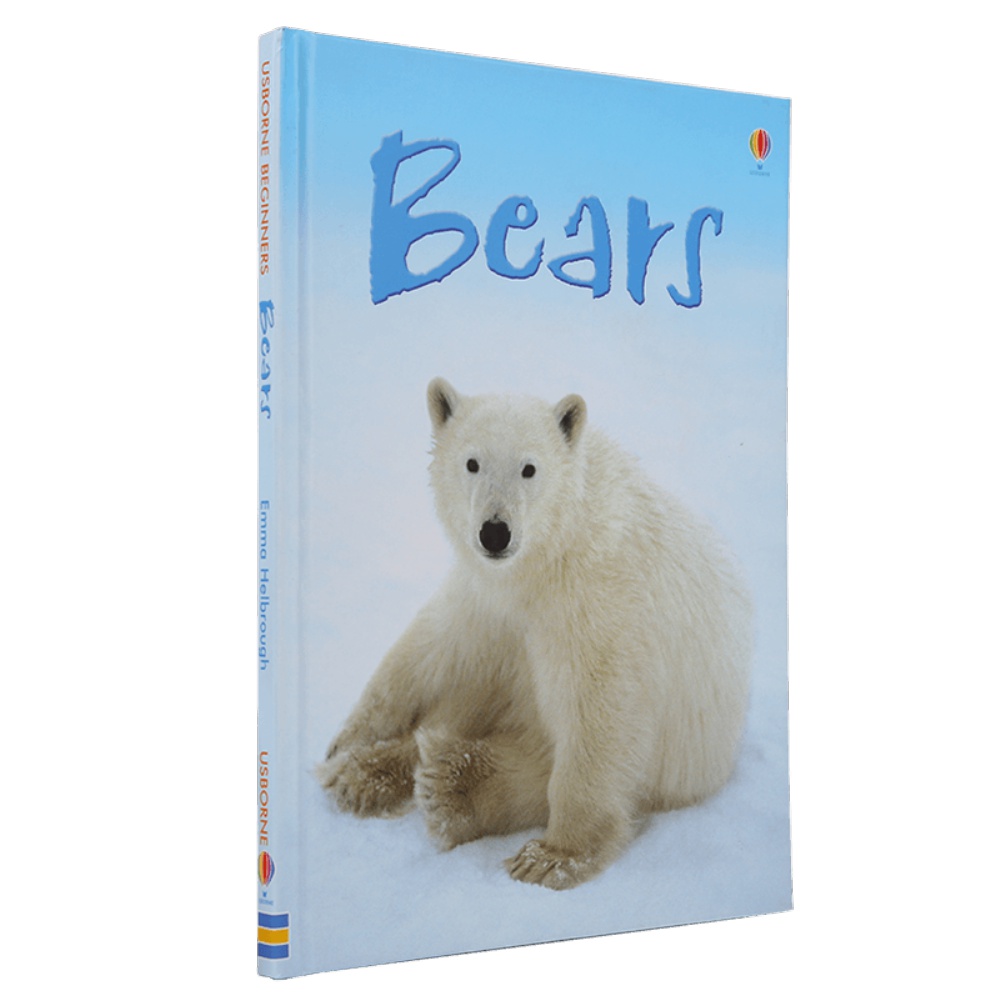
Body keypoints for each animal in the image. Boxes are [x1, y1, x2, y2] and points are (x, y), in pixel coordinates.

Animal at [317, 378, 752, 890]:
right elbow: (437, 647)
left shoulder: (594, 603)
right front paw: (348, 742)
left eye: (529, 468)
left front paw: (552, 856)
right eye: (472, 462)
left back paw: (448, 785)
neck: (547, 558)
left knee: (538, 757)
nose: (494, 532)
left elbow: (599, 712)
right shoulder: (487, 600)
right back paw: (366, 774)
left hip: (688, 757)